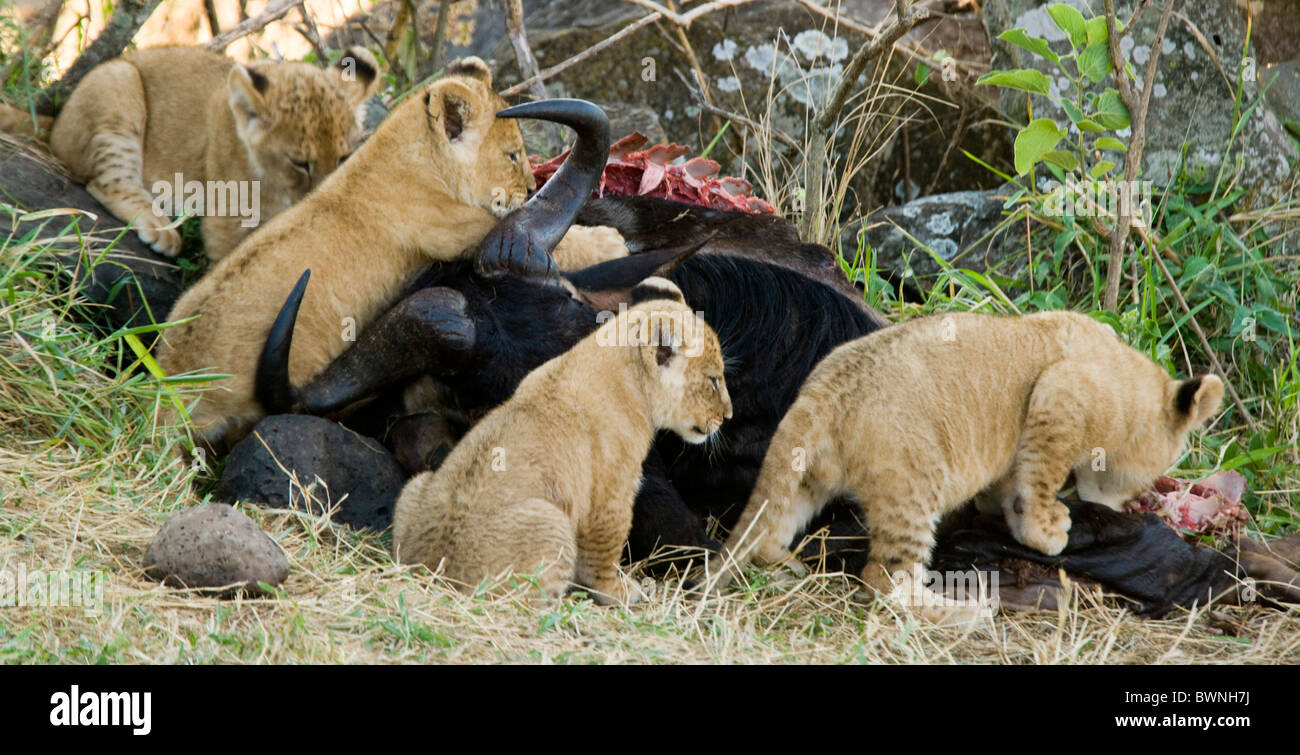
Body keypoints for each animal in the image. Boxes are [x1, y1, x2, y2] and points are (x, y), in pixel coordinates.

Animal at [1, 45, 380, 260]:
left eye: (343, 158)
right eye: (300, 163)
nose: (328, 196)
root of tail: (57, 121)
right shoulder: (228, 223)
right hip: (119, 81)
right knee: (107, 183)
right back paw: (161, 228)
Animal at [154, 57, 629, 451]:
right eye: (513, 155)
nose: (531, 188)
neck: (404, 159)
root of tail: (172, 387)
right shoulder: (458, 231)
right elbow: (541, 235)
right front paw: (609, 240)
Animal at [392, 278, 731, 605]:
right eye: (714, 380)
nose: (727, 416)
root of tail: (431, 573)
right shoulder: (610, 494)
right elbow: (604, 553)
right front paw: (618, 592)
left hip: (416, 485)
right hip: (552, 521)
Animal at [704, 310, 1224, 623]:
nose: (1125, 507)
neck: (1129, 383)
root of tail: (823, 389)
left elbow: (1012, 489)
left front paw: (1018, 518)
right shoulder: (1058, 396)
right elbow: (1040, 478)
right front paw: (1048, 531)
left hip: (809, 473)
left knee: (770, 527)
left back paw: (786, 566)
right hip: (915, 481)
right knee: (885, 580)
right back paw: (964, 611)